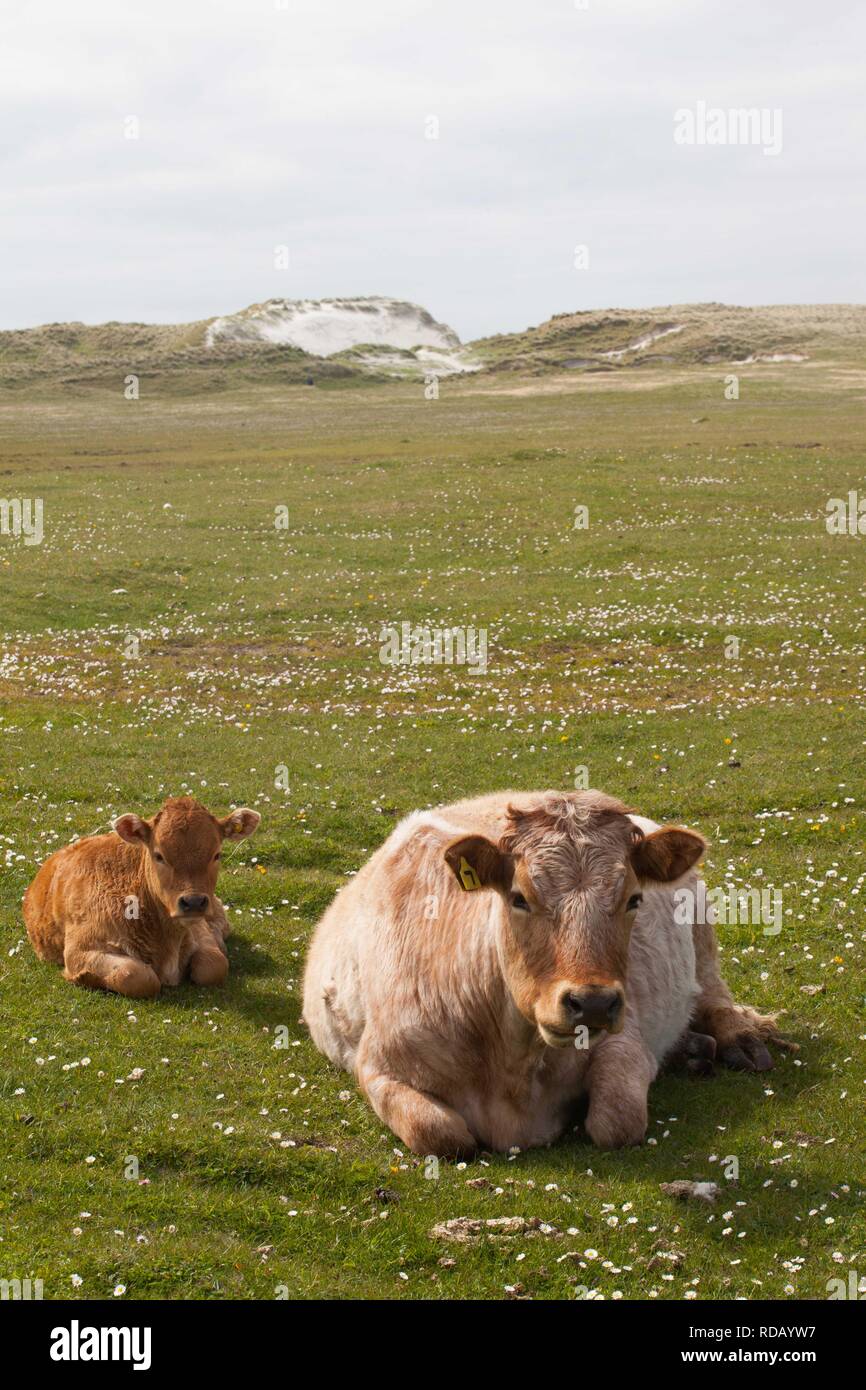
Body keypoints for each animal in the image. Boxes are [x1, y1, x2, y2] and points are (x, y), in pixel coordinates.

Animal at [24, 796, 260, 998]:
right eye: (159, 855)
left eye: (216, 854)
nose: (193, 902)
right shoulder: (78, 950)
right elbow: (137, 975)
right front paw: (86, 978)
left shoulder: (199, 929)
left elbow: (215, 965)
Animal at [303, 789, 784, 1156]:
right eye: (519, 897)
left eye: (634, 899)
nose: (593, 1003)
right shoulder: (377, 1064)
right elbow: (441, 1134)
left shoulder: (625, 1037)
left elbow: (617, 1120)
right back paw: (691, 1050)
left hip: (701, 929)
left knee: (713, 994)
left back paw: (737, 1040)